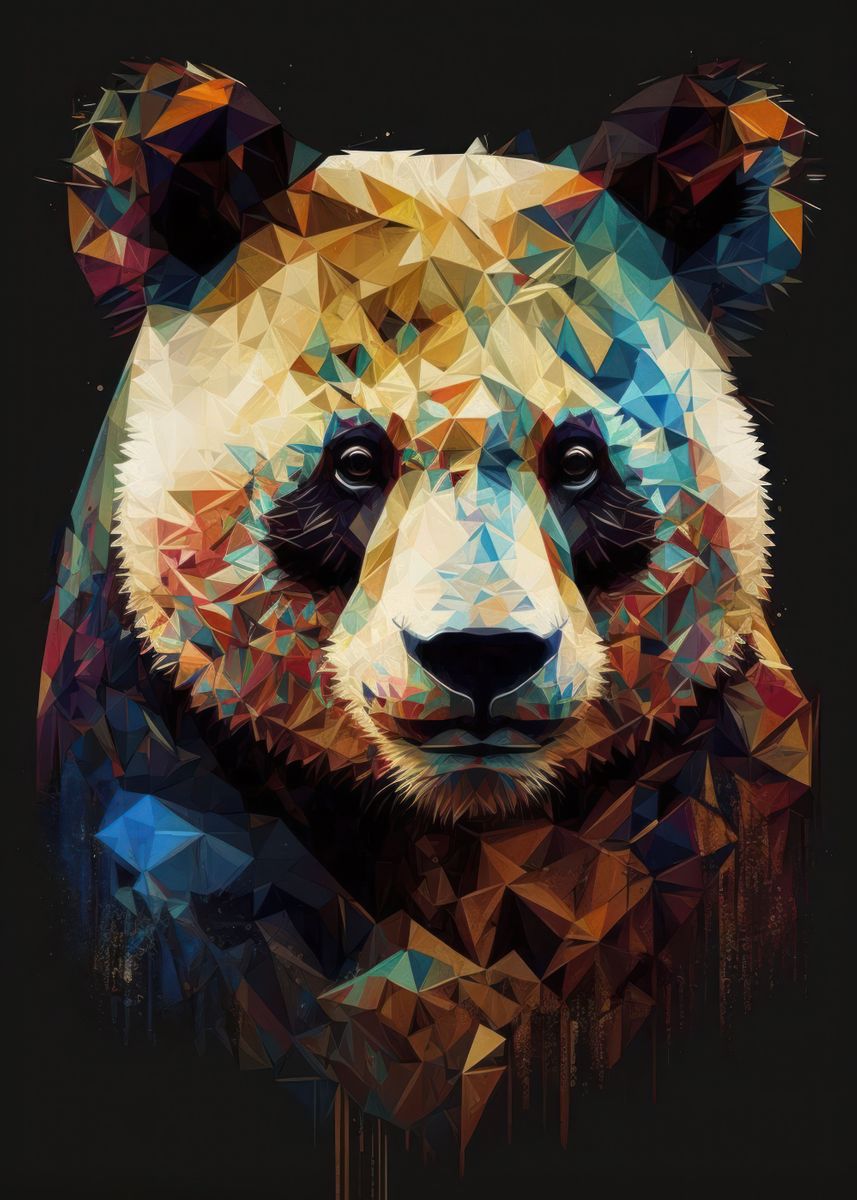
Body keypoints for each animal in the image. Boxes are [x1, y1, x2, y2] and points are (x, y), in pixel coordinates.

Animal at [39, 58, 814, 1147]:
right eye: (355, 463)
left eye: (579, 462)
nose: (482, 655)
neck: (450, 828)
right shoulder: (149, 768)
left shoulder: (710, 789)